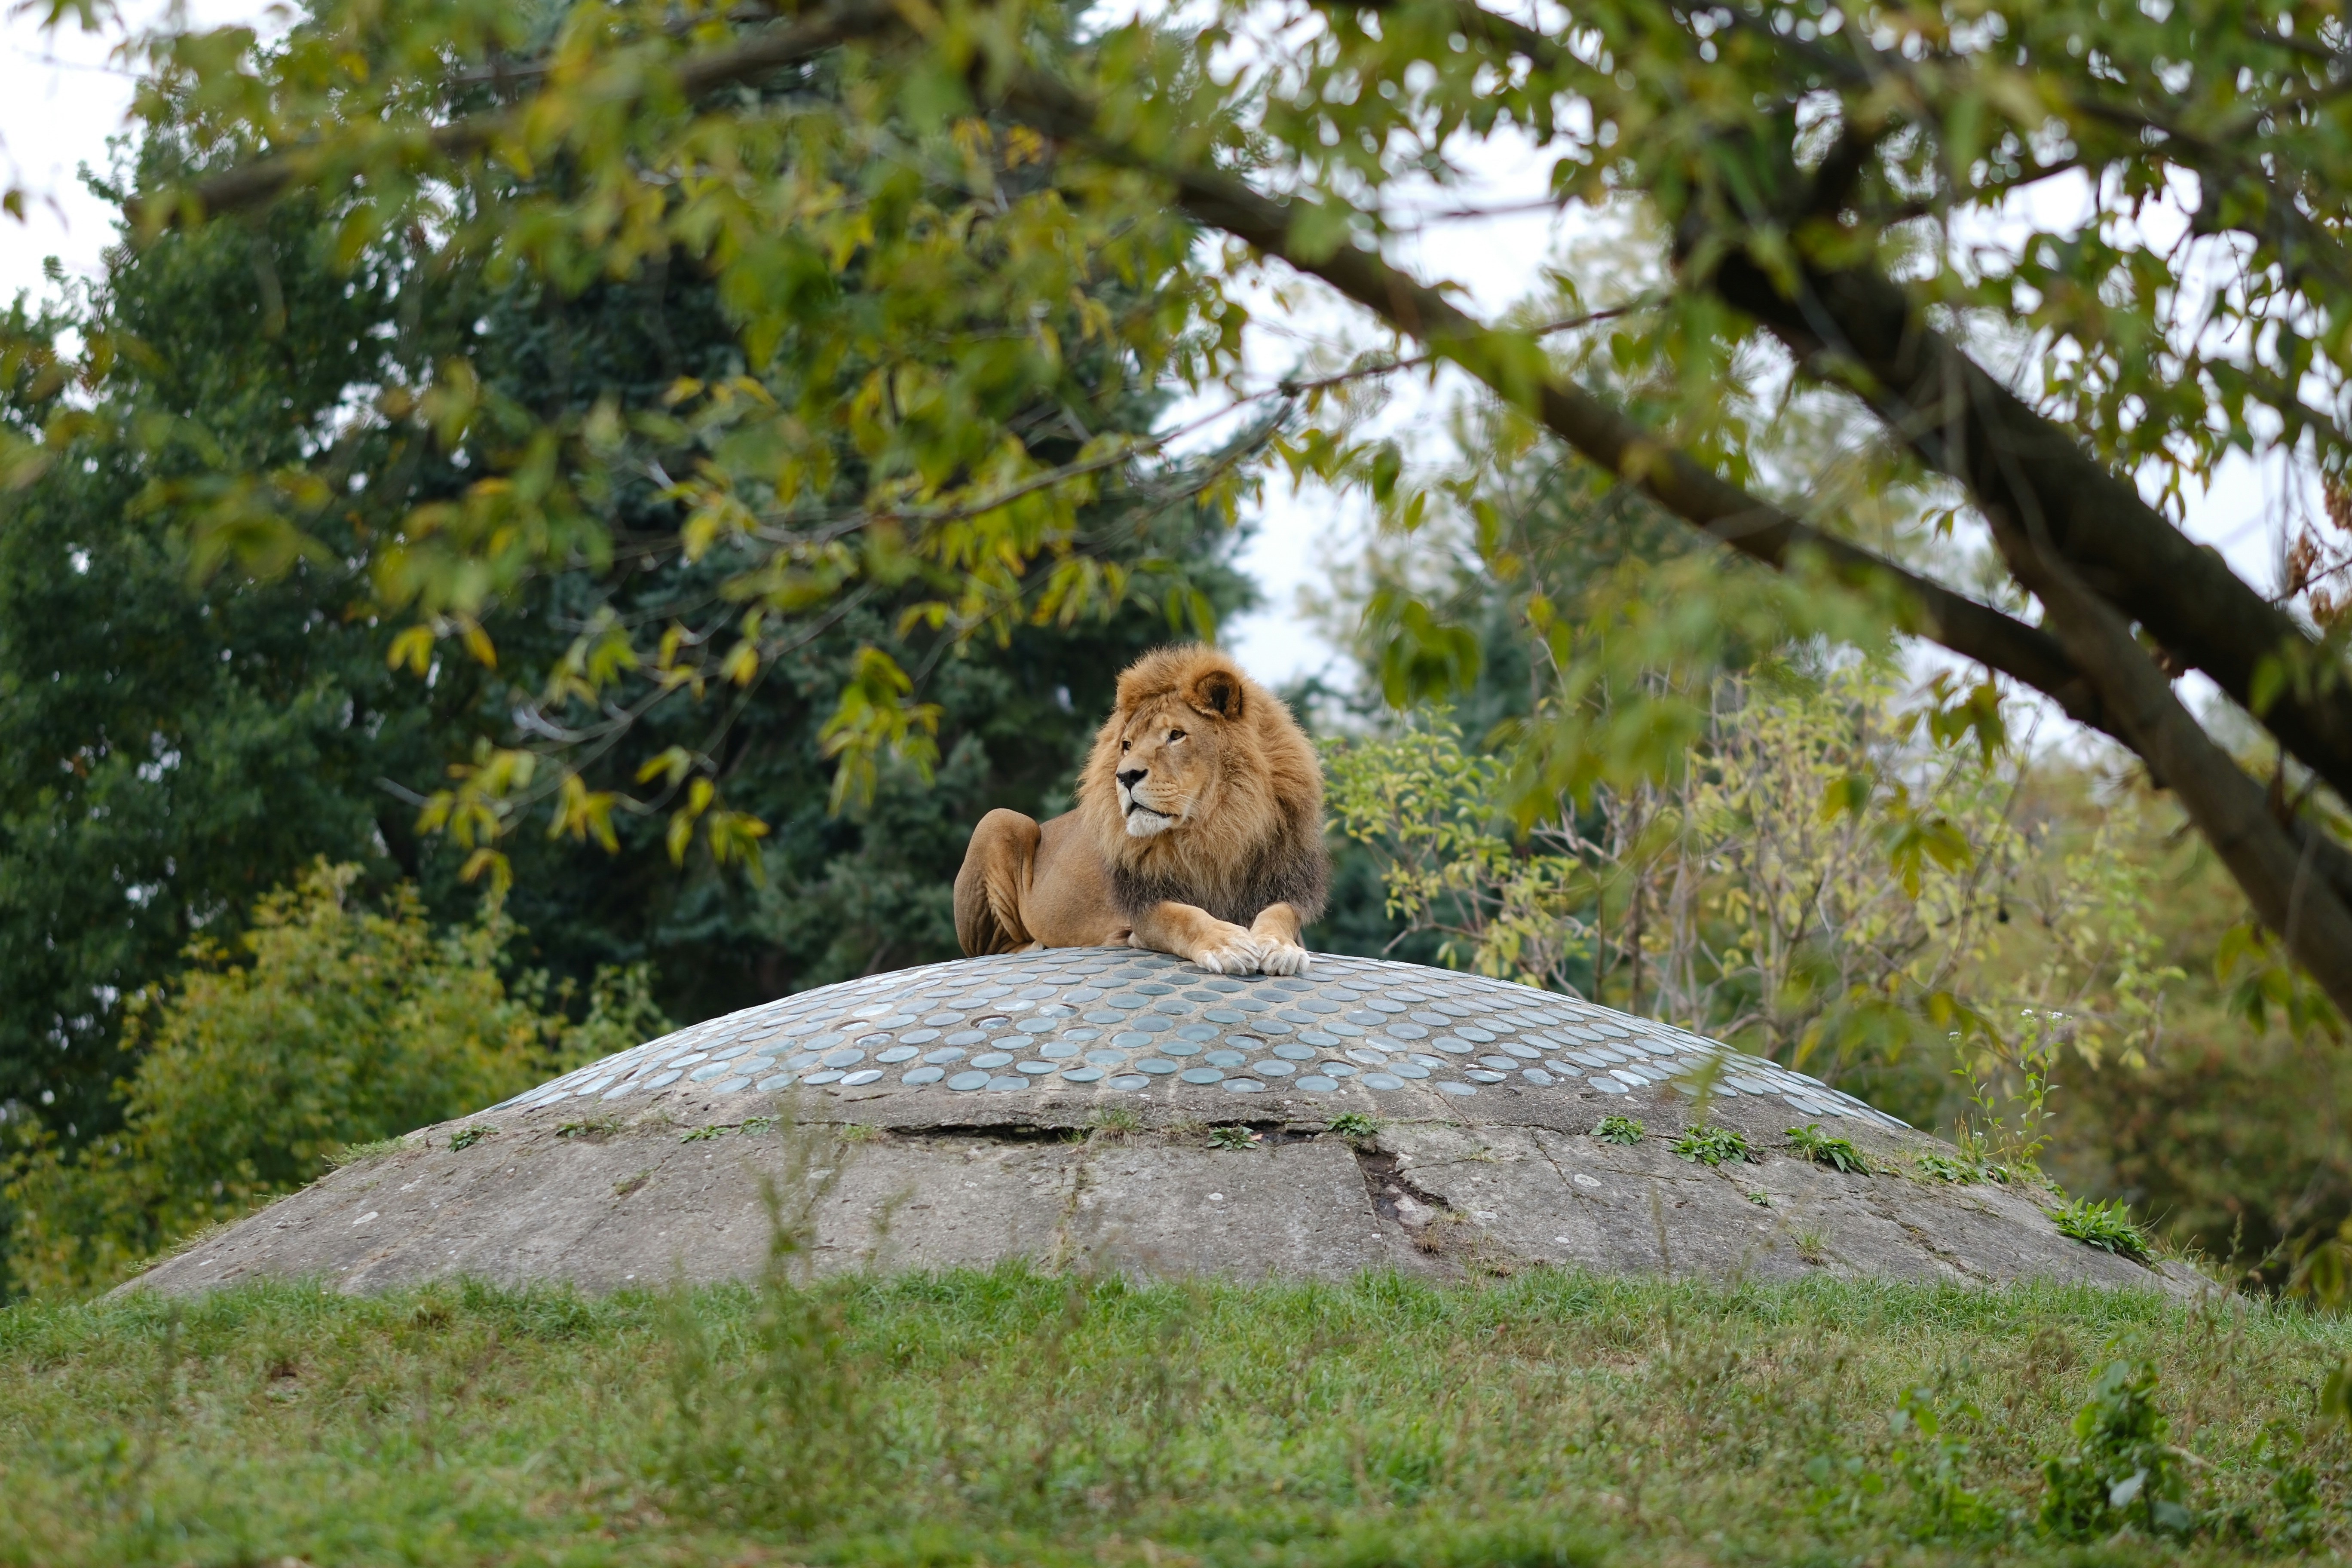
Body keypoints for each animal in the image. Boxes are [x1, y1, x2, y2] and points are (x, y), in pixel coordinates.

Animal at [953, 644, 1328, 974]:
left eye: (1176, 735)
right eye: (1127, 745)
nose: (1125, 776)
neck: (1216, 826)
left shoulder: (1282, 887)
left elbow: (1280, 915)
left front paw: (1280, 948)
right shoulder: (1143, 910)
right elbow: (1184, 918)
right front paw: (1227, 944)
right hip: (999, 819)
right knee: (989, 949)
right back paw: (1036, 945)